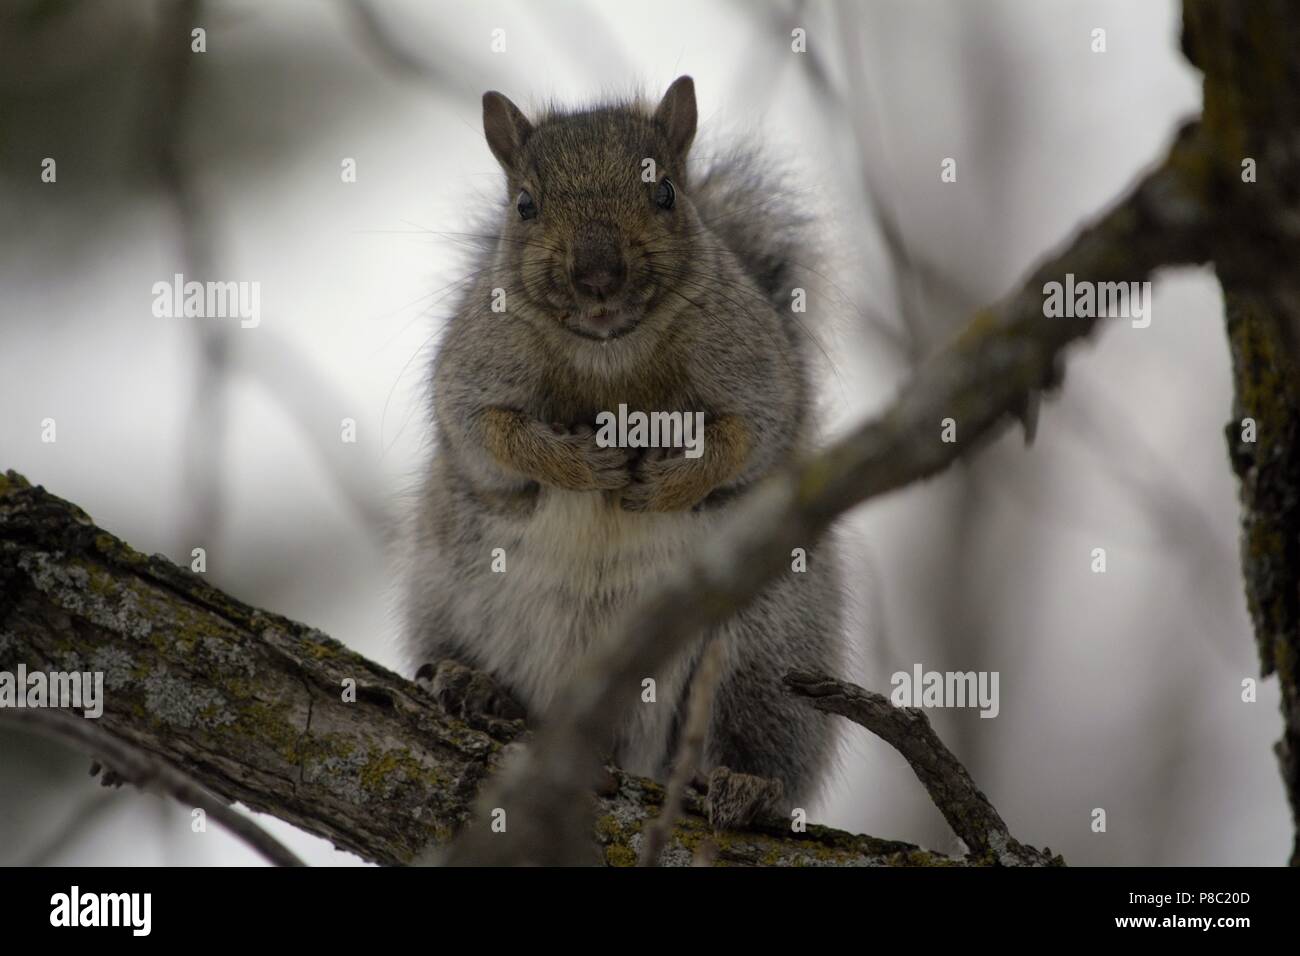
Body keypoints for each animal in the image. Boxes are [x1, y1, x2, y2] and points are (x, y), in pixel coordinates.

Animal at [402, 76, 844, 810]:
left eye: (665, 192)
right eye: (524, 205)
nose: (597, 275)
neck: (609, 355)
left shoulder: (760, 373)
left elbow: (748, 437)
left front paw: (671, 479)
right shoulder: (473, 372)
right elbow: (490, 437)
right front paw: (581, 461)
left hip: (769, 652)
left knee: (755, 729)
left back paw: (744, 781)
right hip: (456, 604)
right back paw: (476, 684)